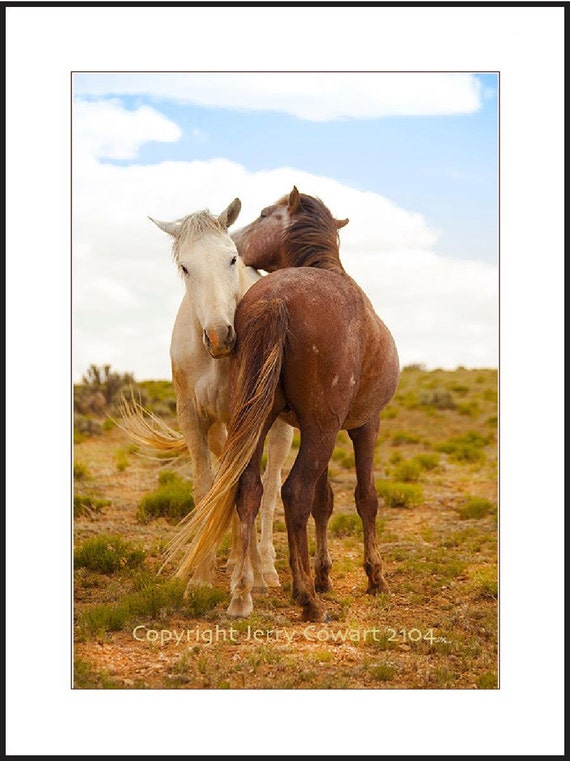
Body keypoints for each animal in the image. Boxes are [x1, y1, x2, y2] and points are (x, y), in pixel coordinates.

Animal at [119, 199, 293, 589]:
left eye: (232, 258)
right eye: (186, 267)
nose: (219, 336)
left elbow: (250, 487)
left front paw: (251, 571)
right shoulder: (192, 419)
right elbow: (207, 488)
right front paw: (200, 574)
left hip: (280, 429)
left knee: (272, 485)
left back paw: (266, 566)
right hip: (221, 430)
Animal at [164, 187, 400, 622]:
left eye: (261, 214)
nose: (236, 242)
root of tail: (276, 299)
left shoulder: (312, 427)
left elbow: (325, 501)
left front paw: (324, 573)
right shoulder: (362, 425)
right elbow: (365, 497)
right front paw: (374, 577)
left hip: (260, 421)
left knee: (250, 489)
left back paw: (243, 593)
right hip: (321, 430)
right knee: (294, 493)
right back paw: (306, 597)